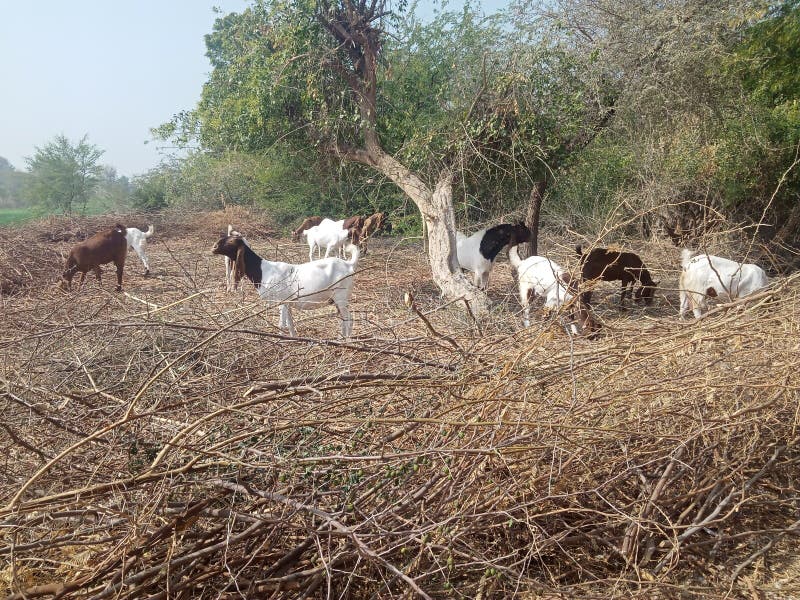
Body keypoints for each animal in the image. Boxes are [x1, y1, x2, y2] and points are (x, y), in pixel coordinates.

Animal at [212, 234, 360, 338]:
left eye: (231, 241)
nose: (214, 247)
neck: (263, 270)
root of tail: (348, 264)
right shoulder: (288, 303)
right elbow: (290, 324)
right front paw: (293, 339)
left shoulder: (281, 301)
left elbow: (282, 325)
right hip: (336, 300)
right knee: (343, 319)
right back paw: (341, 338)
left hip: (341, 297)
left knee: (349, 319)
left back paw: (346, 340)